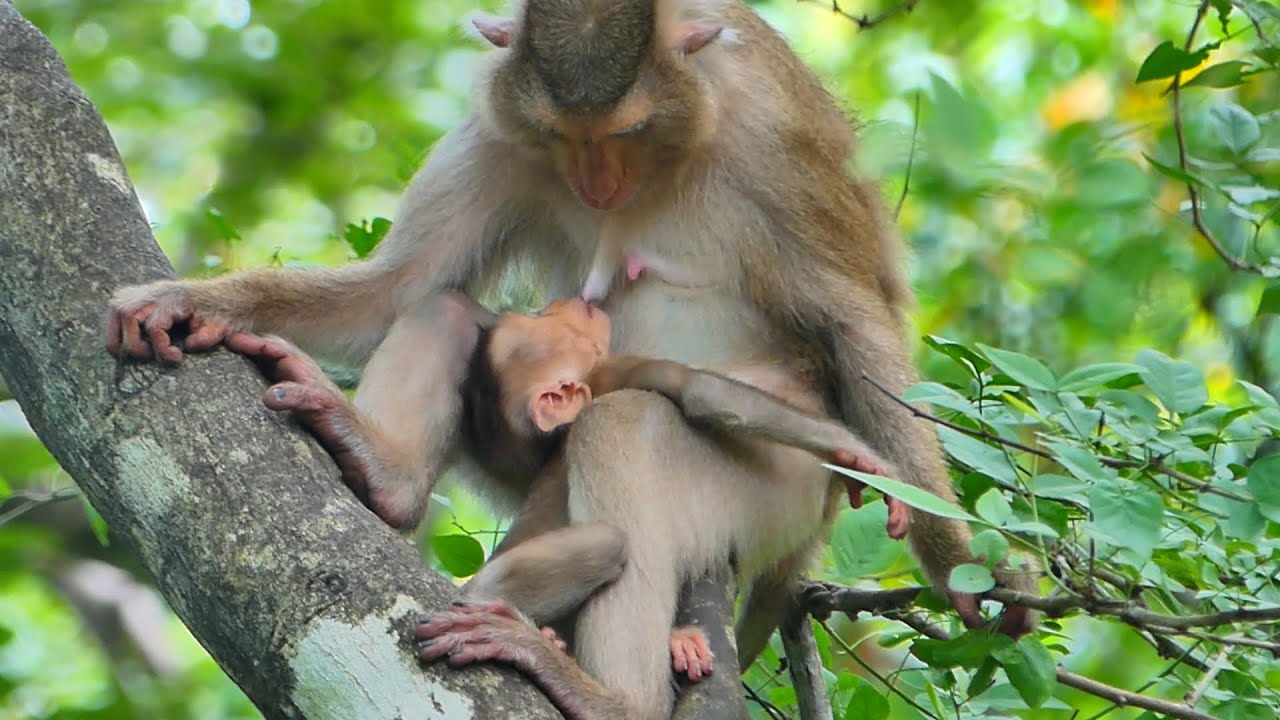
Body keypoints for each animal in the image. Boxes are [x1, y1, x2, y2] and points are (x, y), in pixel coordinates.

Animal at [106, 0, 1037, 716]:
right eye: (563, 132)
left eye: (628, 129)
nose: (596, 182)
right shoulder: (501, 134)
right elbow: (400, 284)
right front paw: (196, 303)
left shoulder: (773, 138)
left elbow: (852, 322)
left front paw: (953, 556)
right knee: (447, 311)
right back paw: (386, 471)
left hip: (780, 499)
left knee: (626, 428)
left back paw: (607, 694)